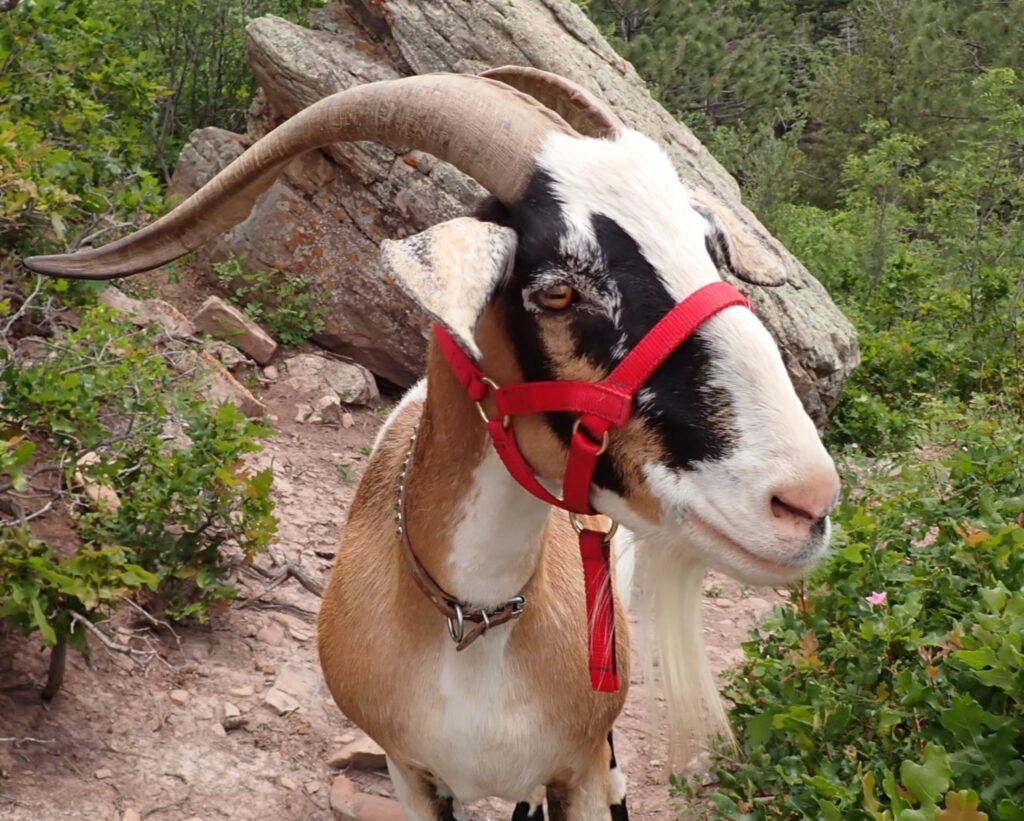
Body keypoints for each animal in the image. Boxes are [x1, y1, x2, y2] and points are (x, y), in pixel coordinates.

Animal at [25, 67, 840, 820]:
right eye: (557, 290)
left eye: (710, 251)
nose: (805, 503)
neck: (471, 622)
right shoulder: (408, 771)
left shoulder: (576, 769)